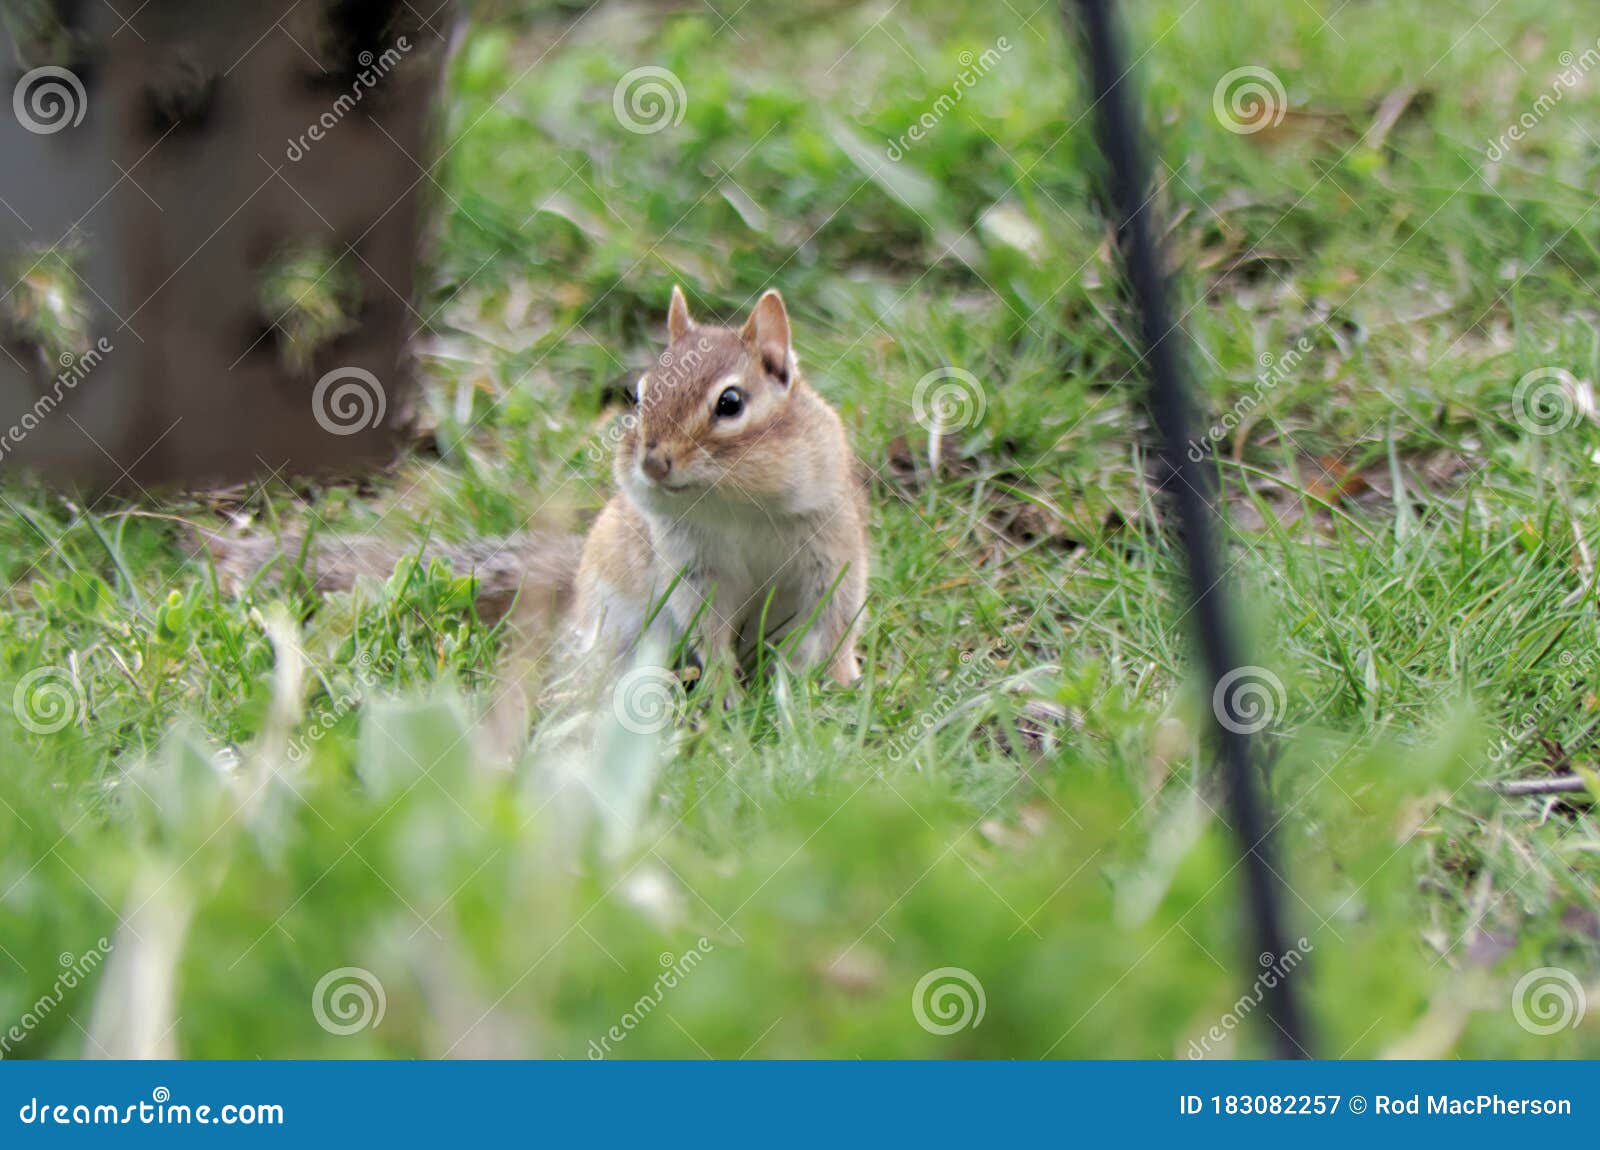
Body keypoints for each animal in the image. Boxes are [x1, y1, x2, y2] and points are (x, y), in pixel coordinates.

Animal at [205, 287, 869, 685]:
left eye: (731, 403)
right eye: (637, 396)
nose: (654, 464)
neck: (734, 502)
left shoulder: (829, 547)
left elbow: (837, 624)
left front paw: (840, 688)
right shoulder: (693, 568)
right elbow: (709, 631)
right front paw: (725, 695)